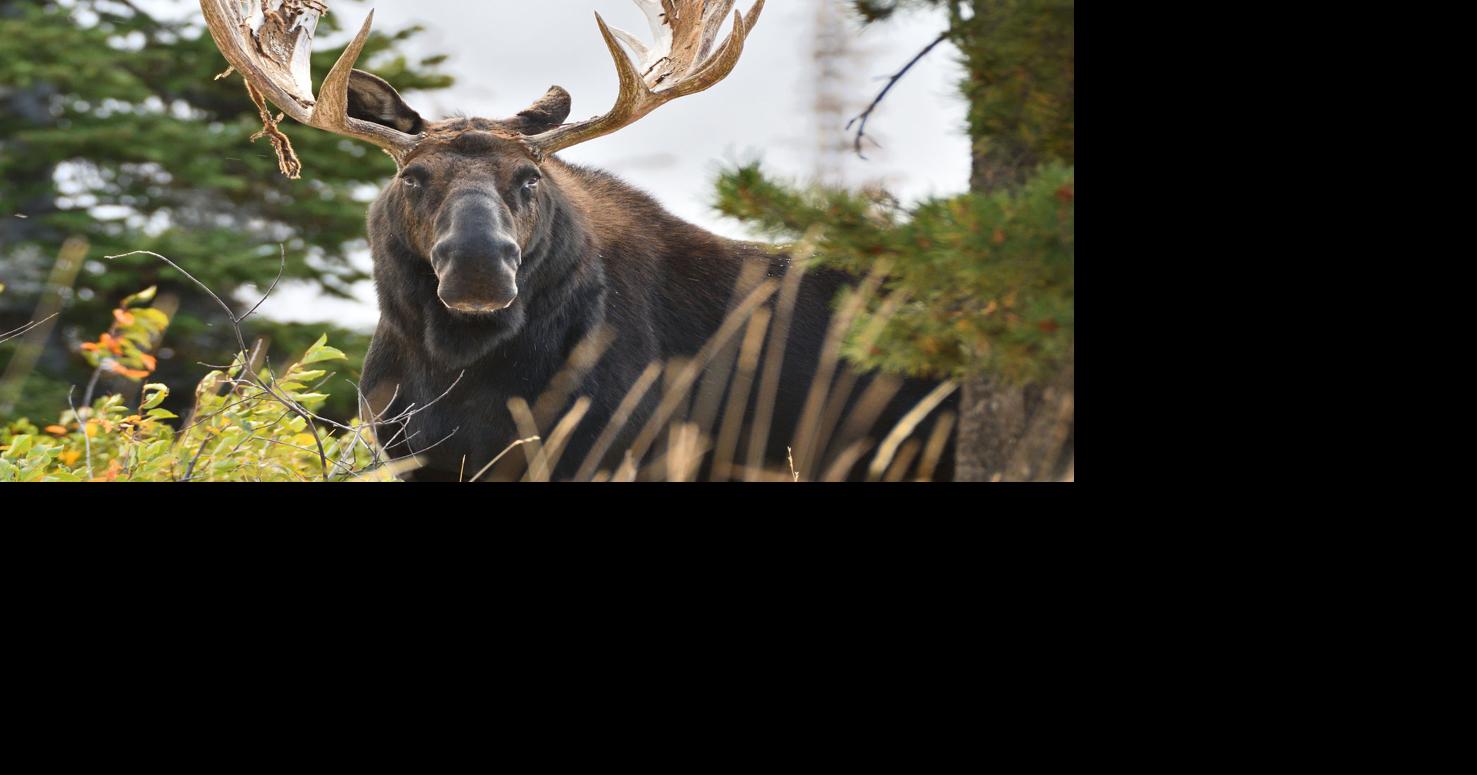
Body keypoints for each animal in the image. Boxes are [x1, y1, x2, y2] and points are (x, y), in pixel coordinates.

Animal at [200, 0, 953, 482]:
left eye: (530, 176)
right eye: (413, 175)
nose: (478, 269)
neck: (459, 372)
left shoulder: (619, 449)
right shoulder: (414, 455)